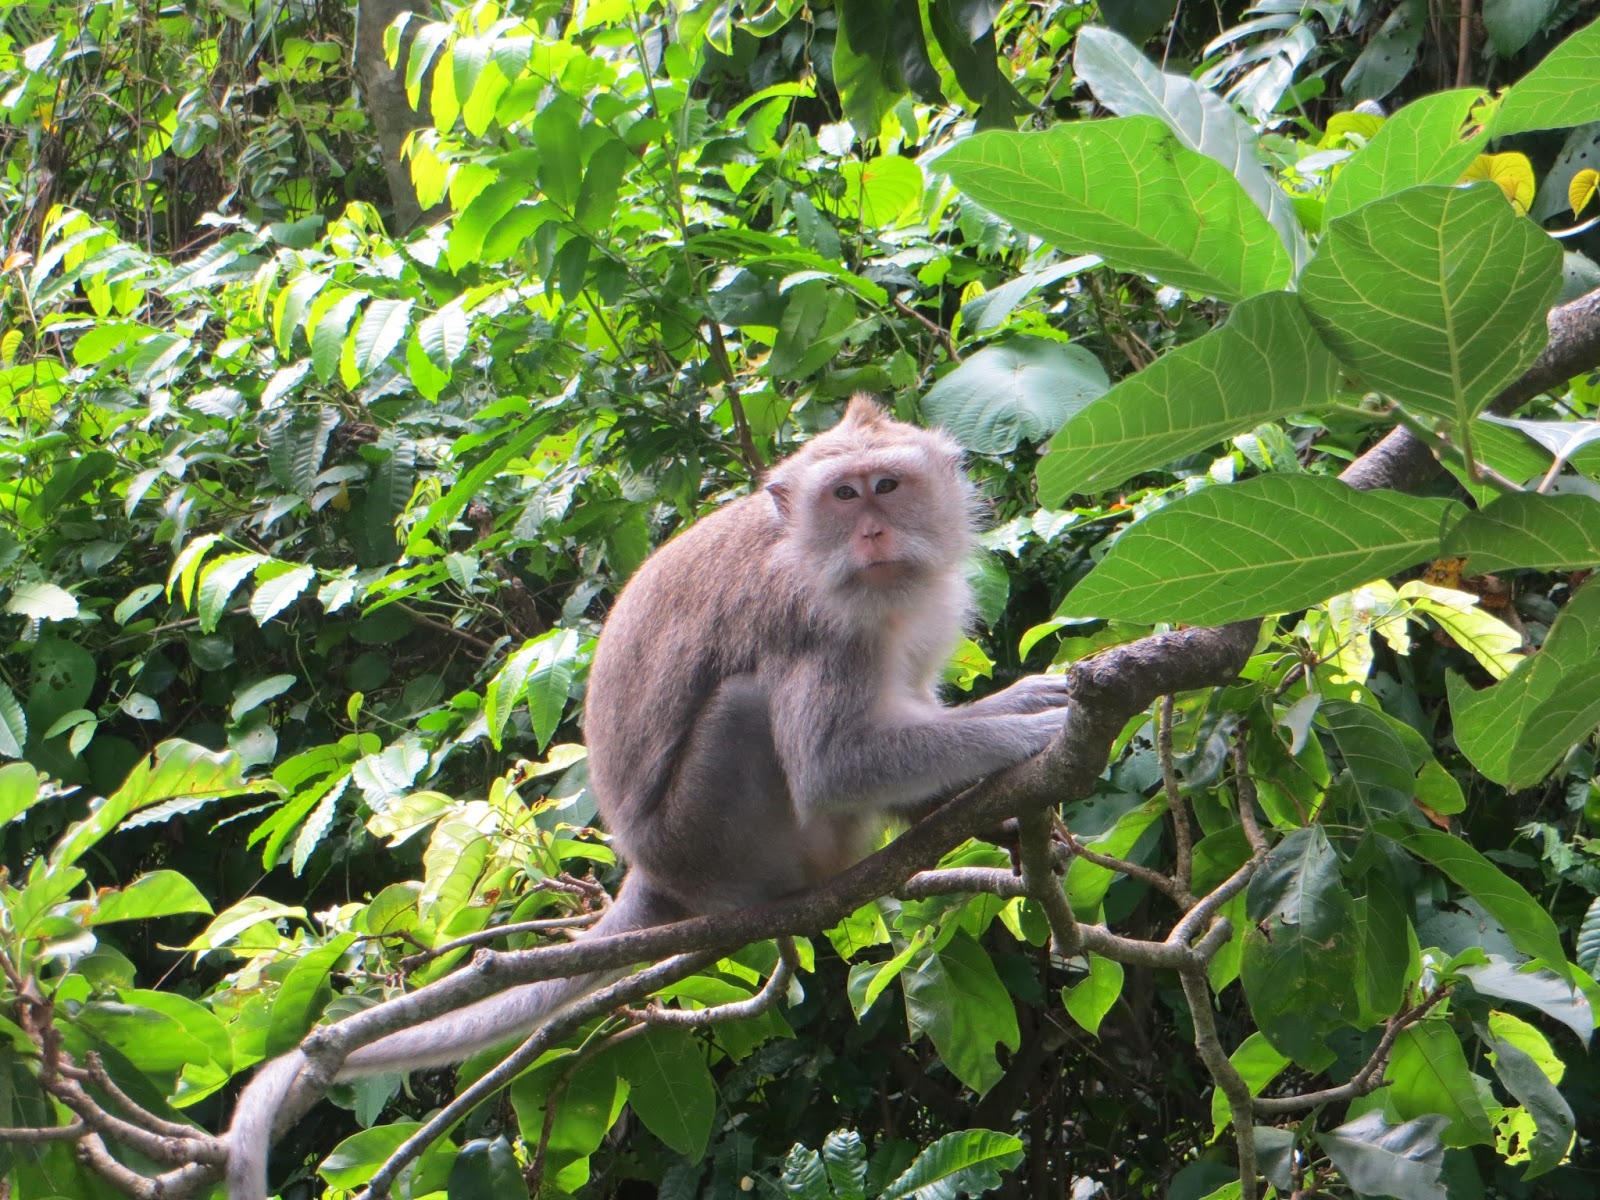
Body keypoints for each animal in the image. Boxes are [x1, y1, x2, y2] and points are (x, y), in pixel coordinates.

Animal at [225, 396, 1071, 1200]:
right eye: (843, 494)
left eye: (887, 486)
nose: (871, 533)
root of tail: (652, 869)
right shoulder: (810, 618)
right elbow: (833, 764)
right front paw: (1035, 731)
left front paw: (1026, 702)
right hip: (718, 836)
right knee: (747, 706)